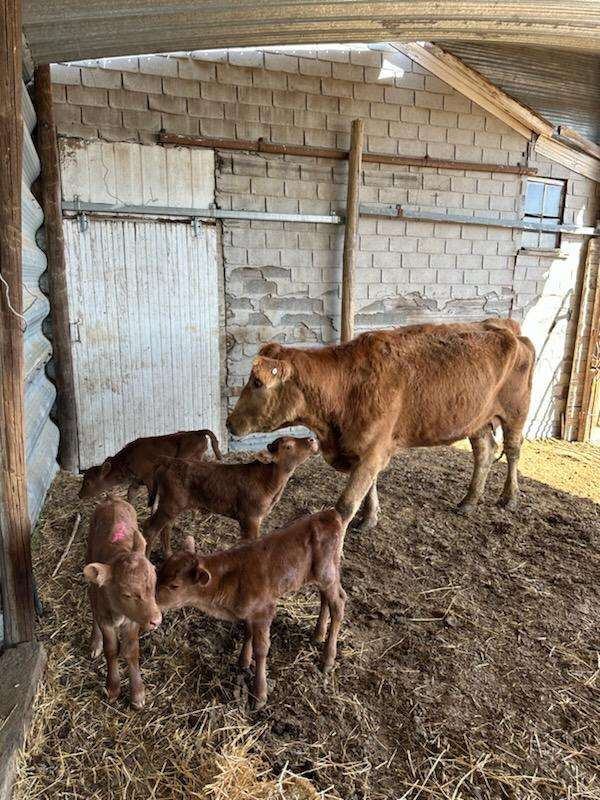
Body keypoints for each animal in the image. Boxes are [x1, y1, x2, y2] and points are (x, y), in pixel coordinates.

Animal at [79, 429, 222, 504]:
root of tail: (197, 432)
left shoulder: (149, 478)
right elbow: (130, 495)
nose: (79, 495)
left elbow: (152, 500)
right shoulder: (136, 481)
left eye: (88, 482)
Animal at [83, 497, 162, 709]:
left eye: (154, 583)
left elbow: (131, 650)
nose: (156, 620)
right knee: (92, 607)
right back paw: (95, 642)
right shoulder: (106, 618)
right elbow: (111, 650)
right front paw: (113, 688)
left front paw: (137, 694)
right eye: (127, 595)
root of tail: (113, 498)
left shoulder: (133, 620)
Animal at [143, 435, 319, 556]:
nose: (312, 439)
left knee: (166, 527)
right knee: (150, 528)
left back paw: (168, 555)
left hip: (173, 504)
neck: (269, 482)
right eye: (288, 446)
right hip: (171, 503)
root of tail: (170, 461)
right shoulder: (250, 517)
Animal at [156, 509, 346, 708]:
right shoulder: (249, 612)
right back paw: (318, 634)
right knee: (325, 599)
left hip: (327, 575)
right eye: (160, 571)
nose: (152, 599)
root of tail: (331, 513)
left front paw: (259, 694)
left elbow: (261, 648)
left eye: (175, 585)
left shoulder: (265, 610)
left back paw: (327, 659)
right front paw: (243, 661)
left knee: (339, 603)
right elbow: (247, 633)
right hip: (322, 577)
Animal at [226, 319, 535, 530]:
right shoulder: (367, 449)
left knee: (513, 450)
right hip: (478, 421)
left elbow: (346, 504)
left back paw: (510, 497)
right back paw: (468, 502)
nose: (229, 422)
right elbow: (370, 487)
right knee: (484, 452)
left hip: (516, 413)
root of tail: (509, 330)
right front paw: (369, 518)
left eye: (257, 382)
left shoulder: (373, 450)